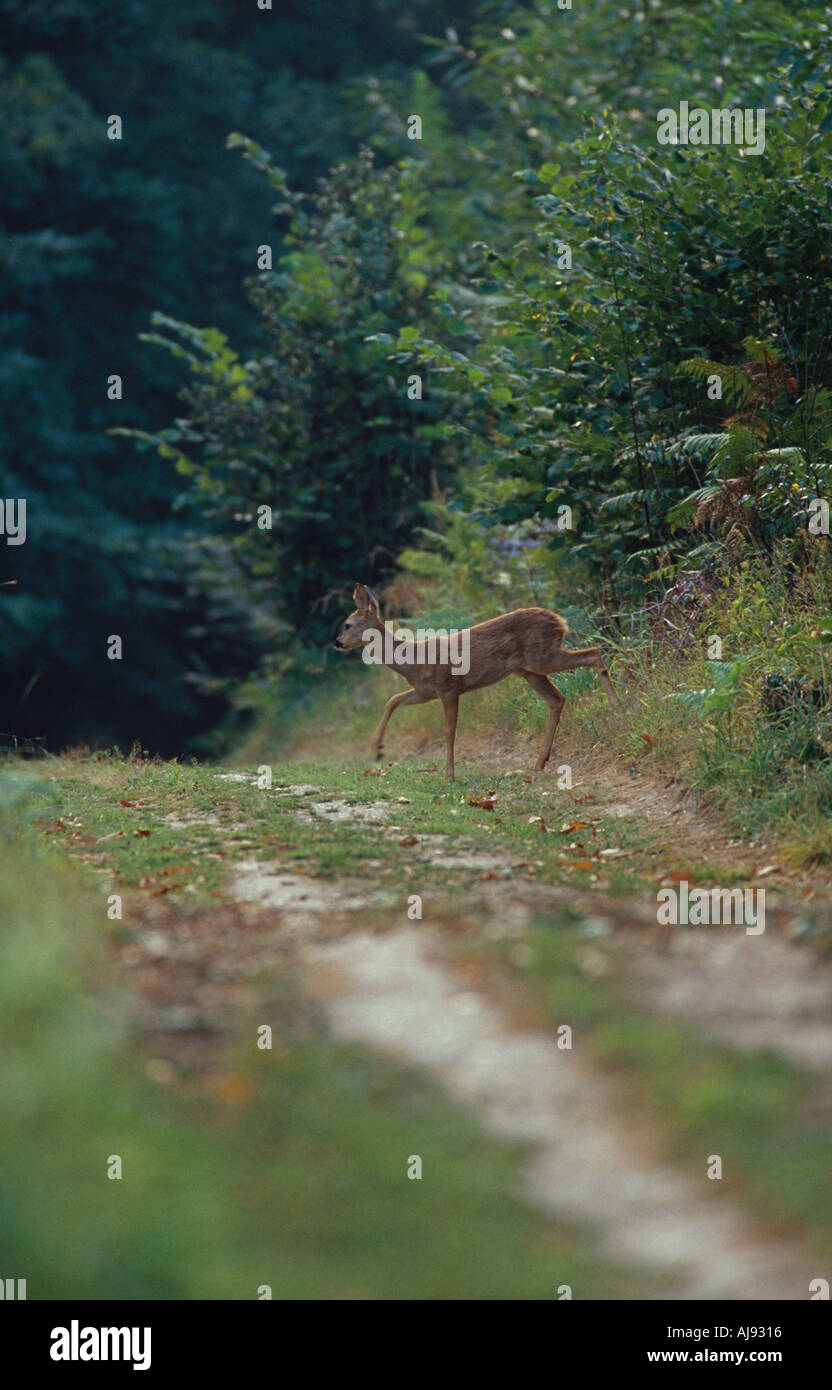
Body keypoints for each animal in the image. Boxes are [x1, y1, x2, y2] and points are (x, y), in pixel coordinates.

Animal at [334, 583, 618, 781]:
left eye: (347, 624)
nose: (337, 643)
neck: (412, 660)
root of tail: (560, 621)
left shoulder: (449, 687)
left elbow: (449, 733)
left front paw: (449, 776)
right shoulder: (425, 692)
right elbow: (392, 701)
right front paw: (377, 748)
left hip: (542, 657)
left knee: (593, 653)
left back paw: (616, 705)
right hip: (529, 671)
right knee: (557, 699)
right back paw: (539, 762)